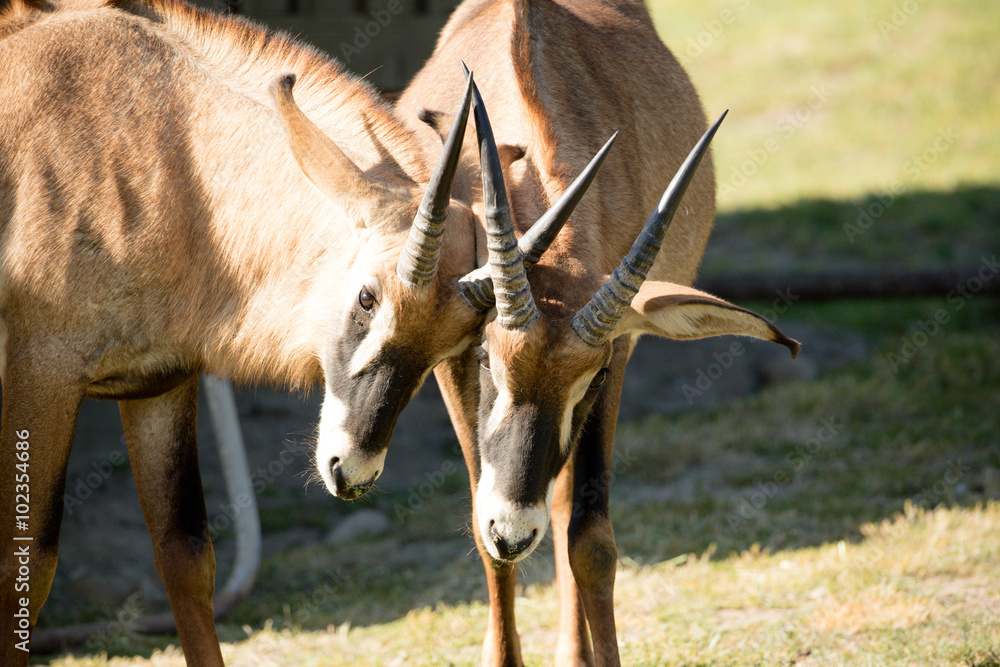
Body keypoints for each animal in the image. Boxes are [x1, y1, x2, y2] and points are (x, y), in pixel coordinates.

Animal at [0, 0, 609, 662]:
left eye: (454, 347)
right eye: (368, 297)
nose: (351, 472)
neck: (168, 148)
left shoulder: (157, 385)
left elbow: (185, 555)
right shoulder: (44, 376)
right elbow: (27, 565)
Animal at [396, 1, 800, 664]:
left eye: (593, 374)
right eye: (487, 360)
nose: (514, 532)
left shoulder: (619, 357)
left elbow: (591, 540)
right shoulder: (448, 362)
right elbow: (481, 530)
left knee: (561, 510)